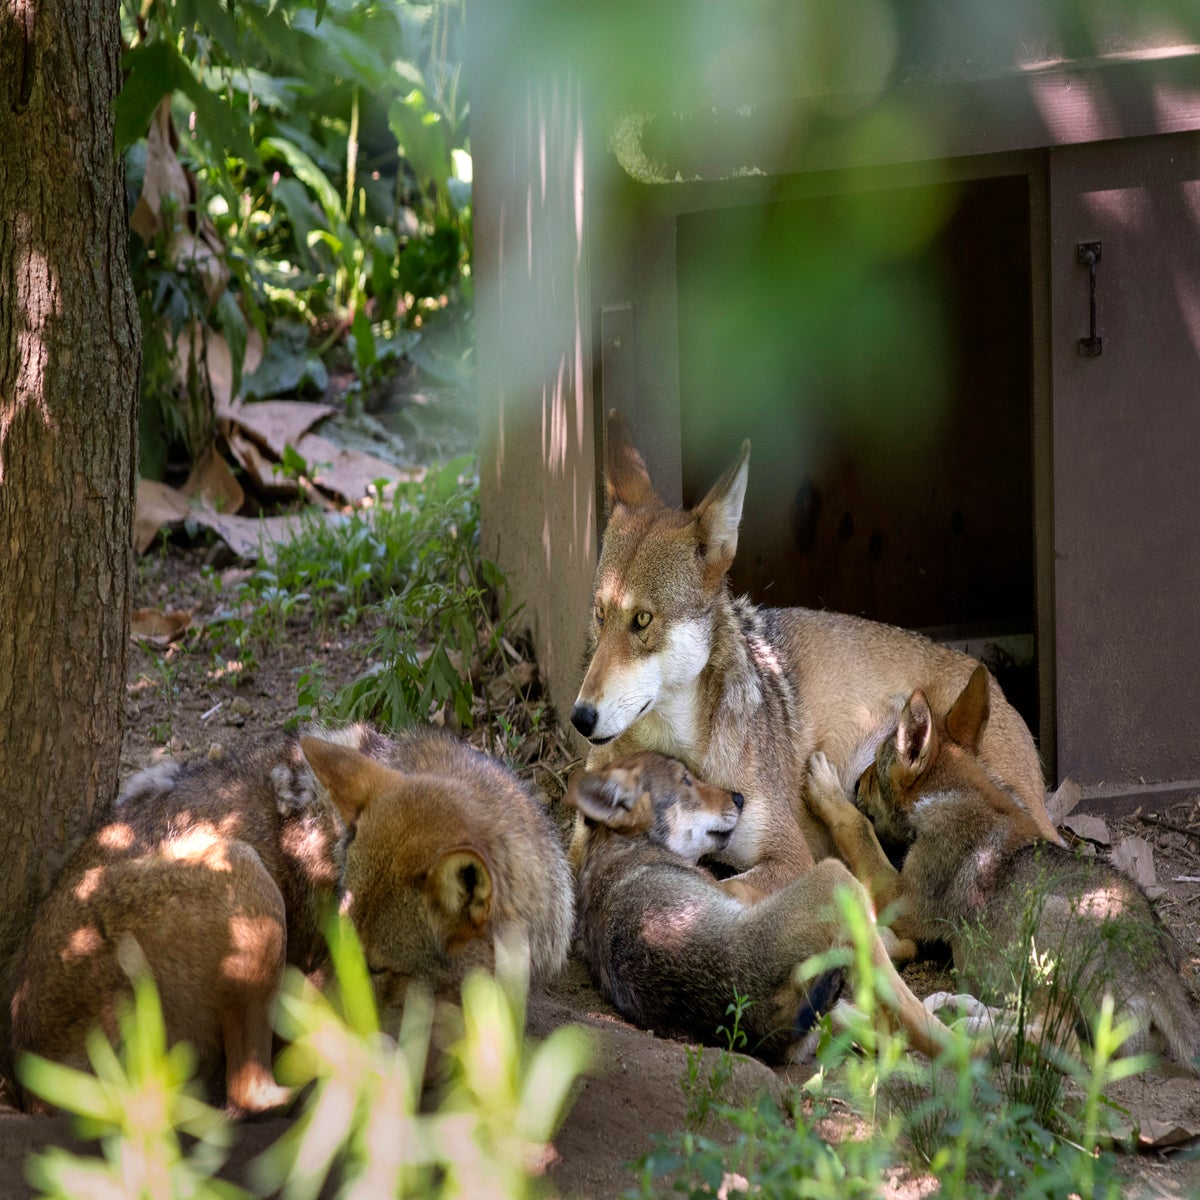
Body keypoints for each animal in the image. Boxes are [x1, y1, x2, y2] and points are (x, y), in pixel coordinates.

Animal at [567, 752, 955, 1061]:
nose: (740, 797)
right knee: (904, 1015)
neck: (625, 846)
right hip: (833, 876)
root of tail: (763, 1023)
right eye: (686, 781)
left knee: (884, 1033)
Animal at [569, 412, 1059, 901]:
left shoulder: (790, 857)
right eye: (599, 614)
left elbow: (721, 891)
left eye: (642, 620)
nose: (580, 717)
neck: (681, 749)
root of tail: (986, 676)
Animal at [805, 665, 1200, 1069]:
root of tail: (1157, 972)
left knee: (1054, 1037)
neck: (960, 793)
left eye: (877, 767)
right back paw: (959, 1007)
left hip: (1039, 932)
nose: (856, 782)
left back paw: (965, 1032)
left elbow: (858, 828)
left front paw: (826, 788)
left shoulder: (902, 900)